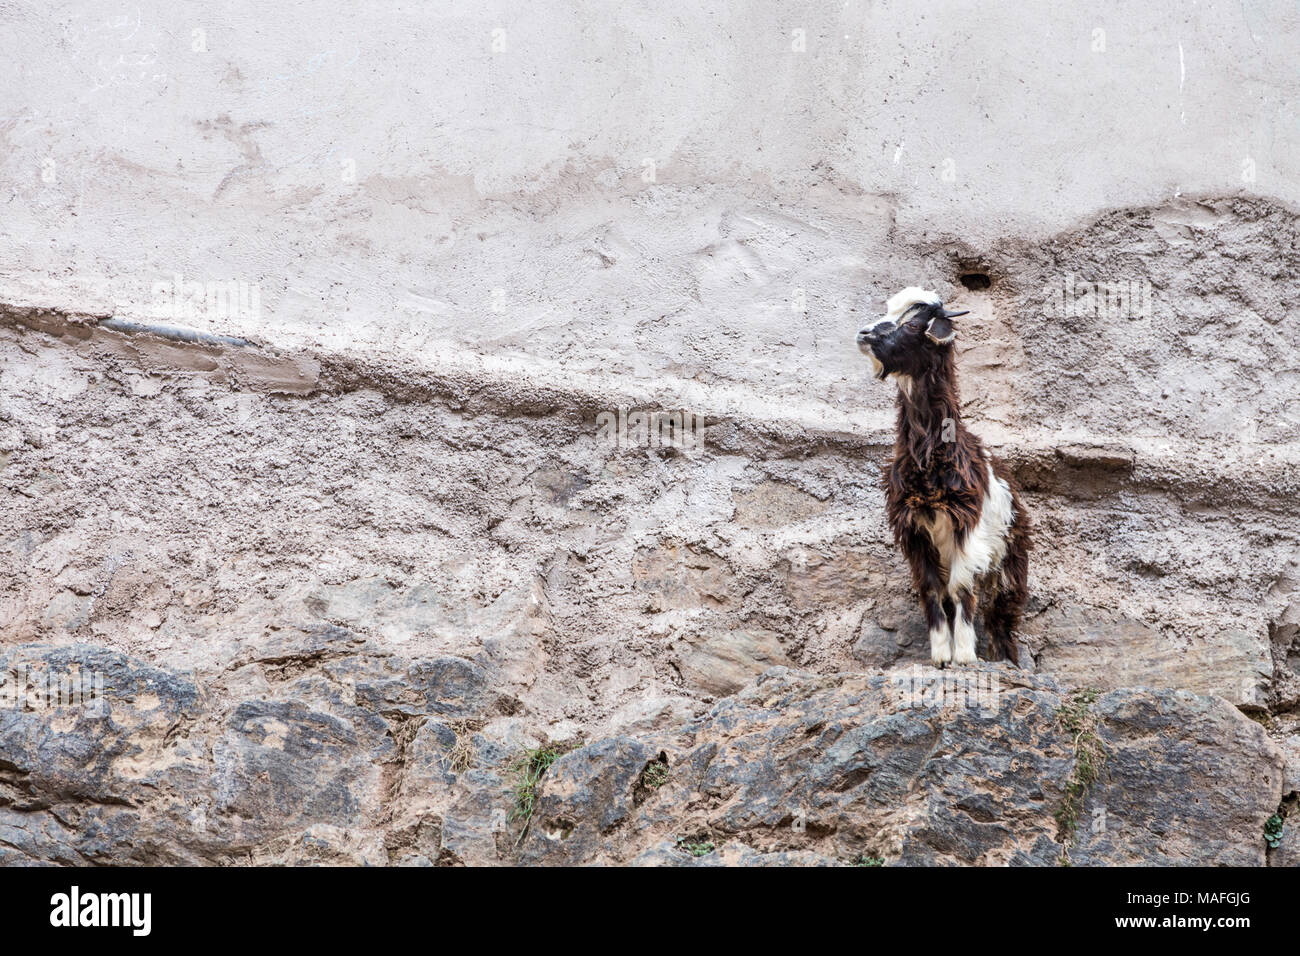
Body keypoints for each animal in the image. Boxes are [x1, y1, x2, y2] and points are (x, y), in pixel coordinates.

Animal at [856, 287, 1030, 667]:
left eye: (913, 324)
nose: (863, 335)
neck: (930, 457)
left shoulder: (965, 526)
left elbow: (961, 589)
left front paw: (964, 655)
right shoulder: (914, 530)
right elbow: (933, 590)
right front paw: (939, 656)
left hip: (1010, 561)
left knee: (1002, 613)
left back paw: (1004, 659)